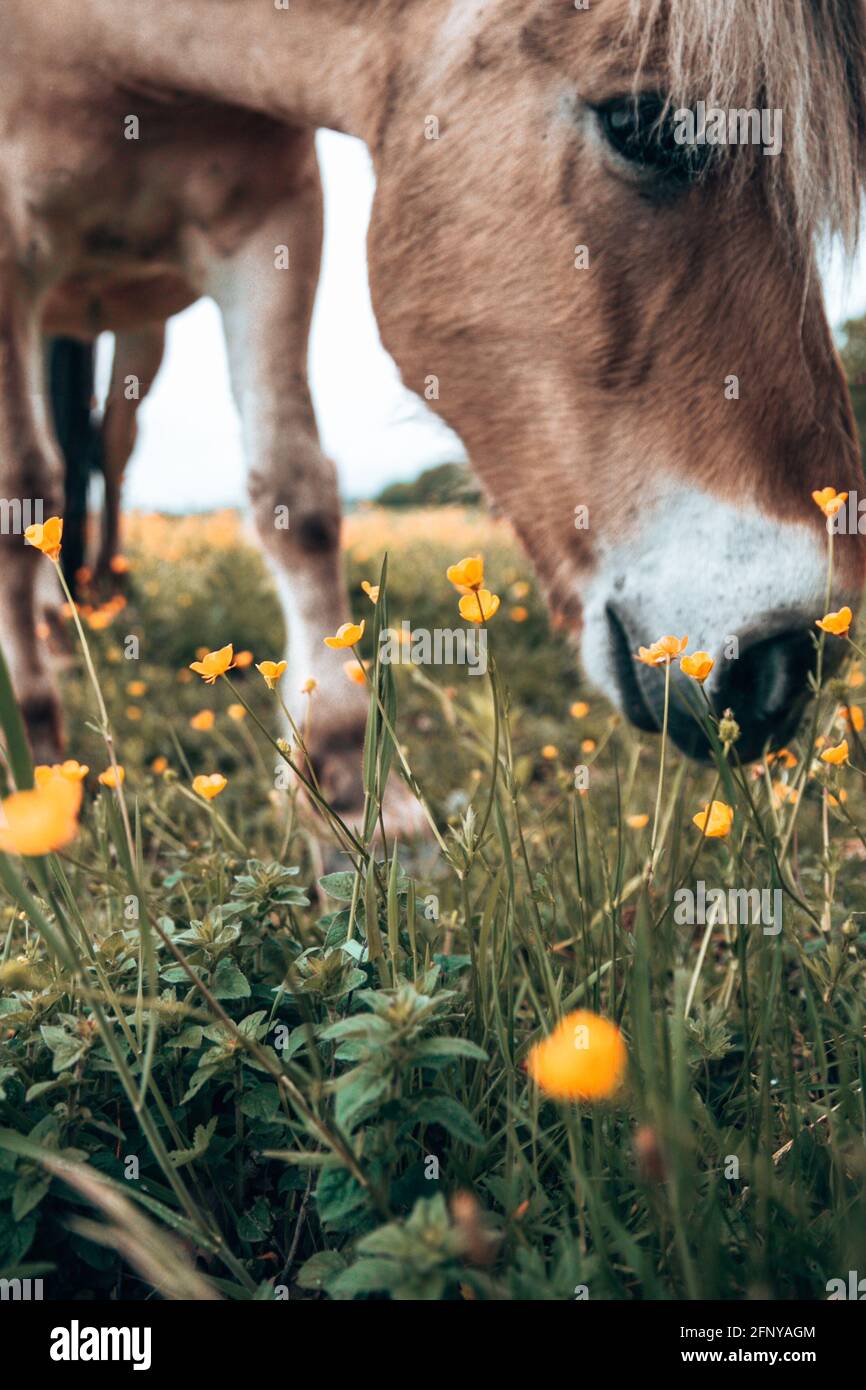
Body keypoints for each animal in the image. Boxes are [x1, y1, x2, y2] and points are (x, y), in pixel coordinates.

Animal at [1, 0, 866, 811]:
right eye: (644, 126)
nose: (788, 666)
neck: (110, 58)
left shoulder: (271, 222)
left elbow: (295, 493)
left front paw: (355, 792)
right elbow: (22, 489)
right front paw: (37, 763)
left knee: (110, 448)